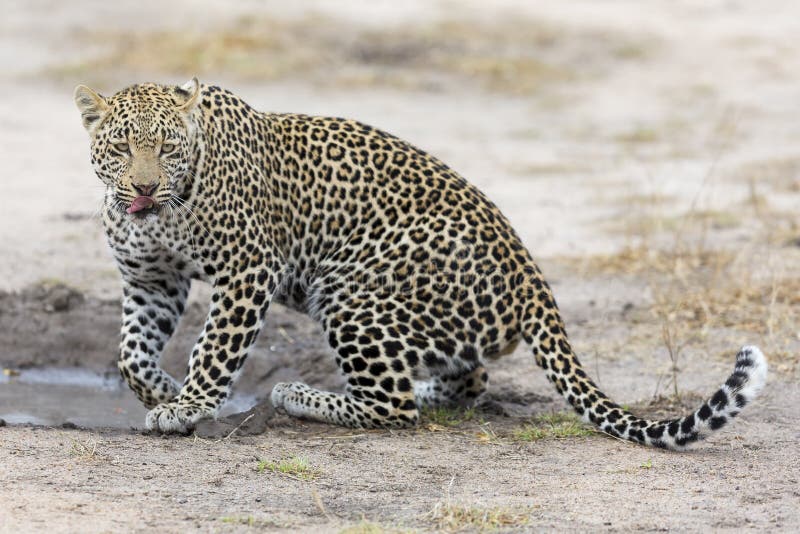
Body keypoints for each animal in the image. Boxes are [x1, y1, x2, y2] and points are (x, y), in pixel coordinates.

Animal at [73, 79, 767, 450]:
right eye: (121, 147)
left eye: (167, 148)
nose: (143, 188)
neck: (160, 215)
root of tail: (534, 282)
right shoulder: (151, 280)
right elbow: (129, 352)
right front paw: (162, 391)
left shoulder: (247, 269)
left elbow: (214, 348)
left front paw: (188, 405)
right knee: (467, 377)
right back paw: (429, 387)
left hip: (350, 291)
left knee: (392, 406)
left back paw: (302, 394)